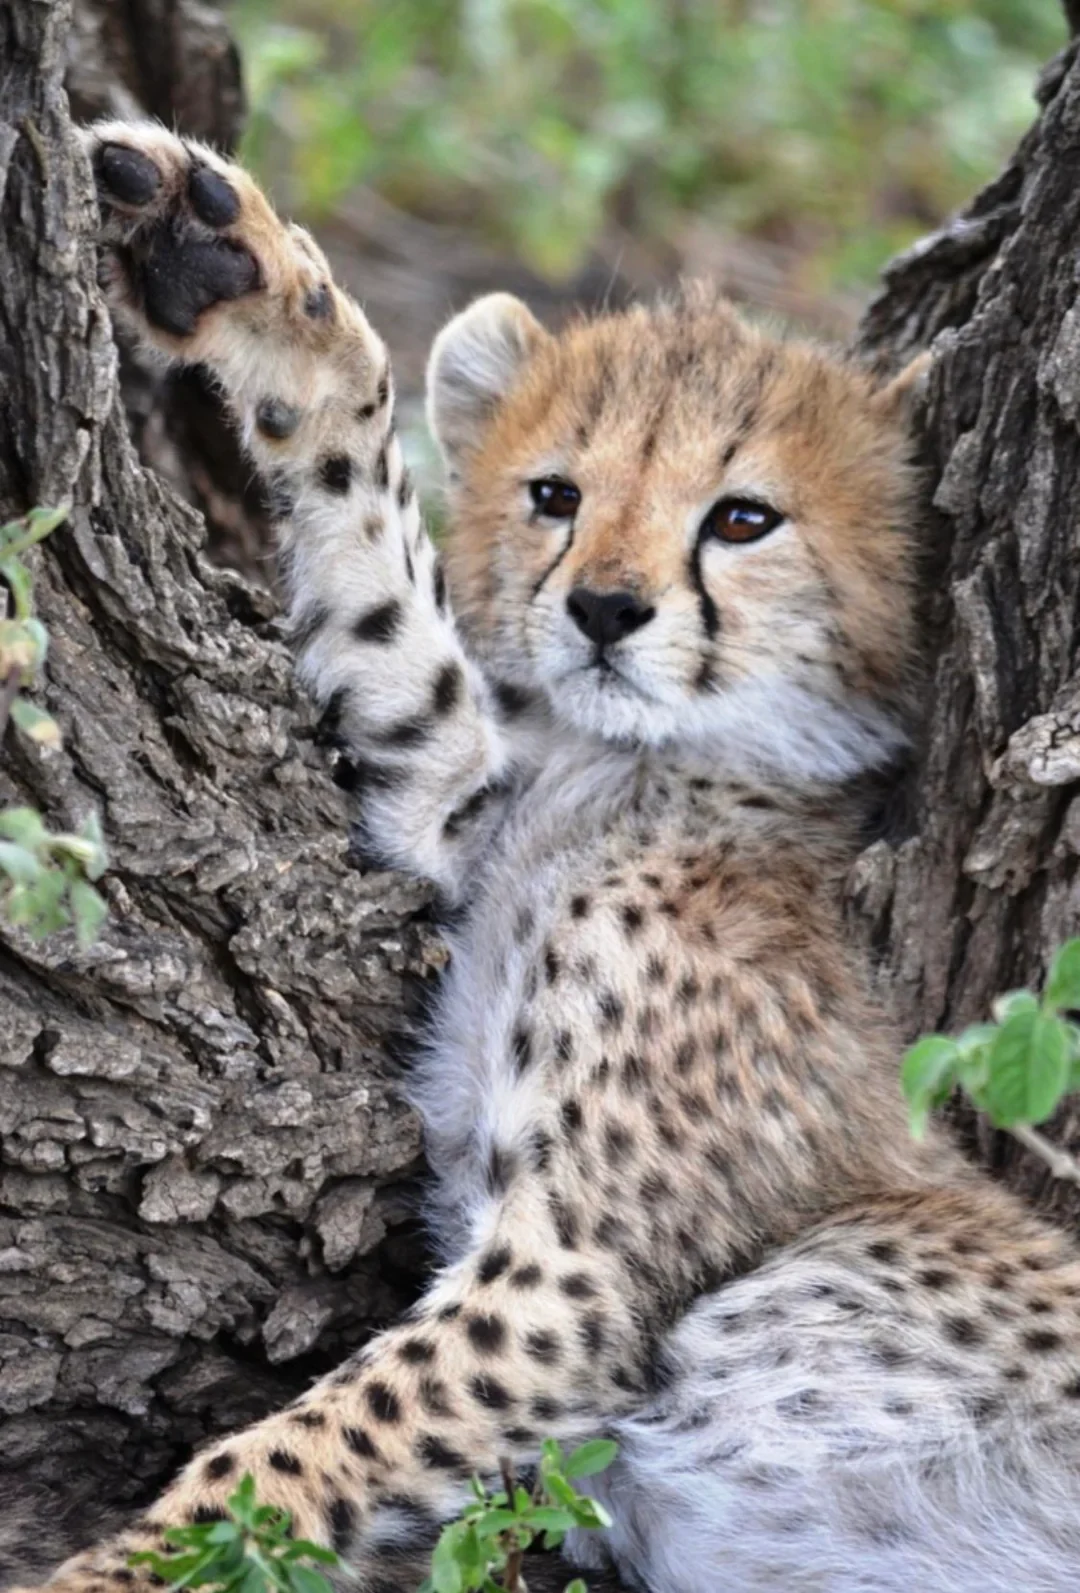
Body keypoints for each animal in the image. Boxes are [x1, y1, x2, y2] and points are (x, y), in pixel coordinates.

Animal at [8, 119, 1080, 1593]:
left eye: (742, 519)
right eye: (555, 496)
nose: (606, 610)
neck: (641, 778)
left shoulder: (570, 1274)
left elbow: (291, 1456)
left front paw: (111, 1567)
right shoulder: (454, 803)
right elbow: (389, 617)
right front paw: (243, 271)